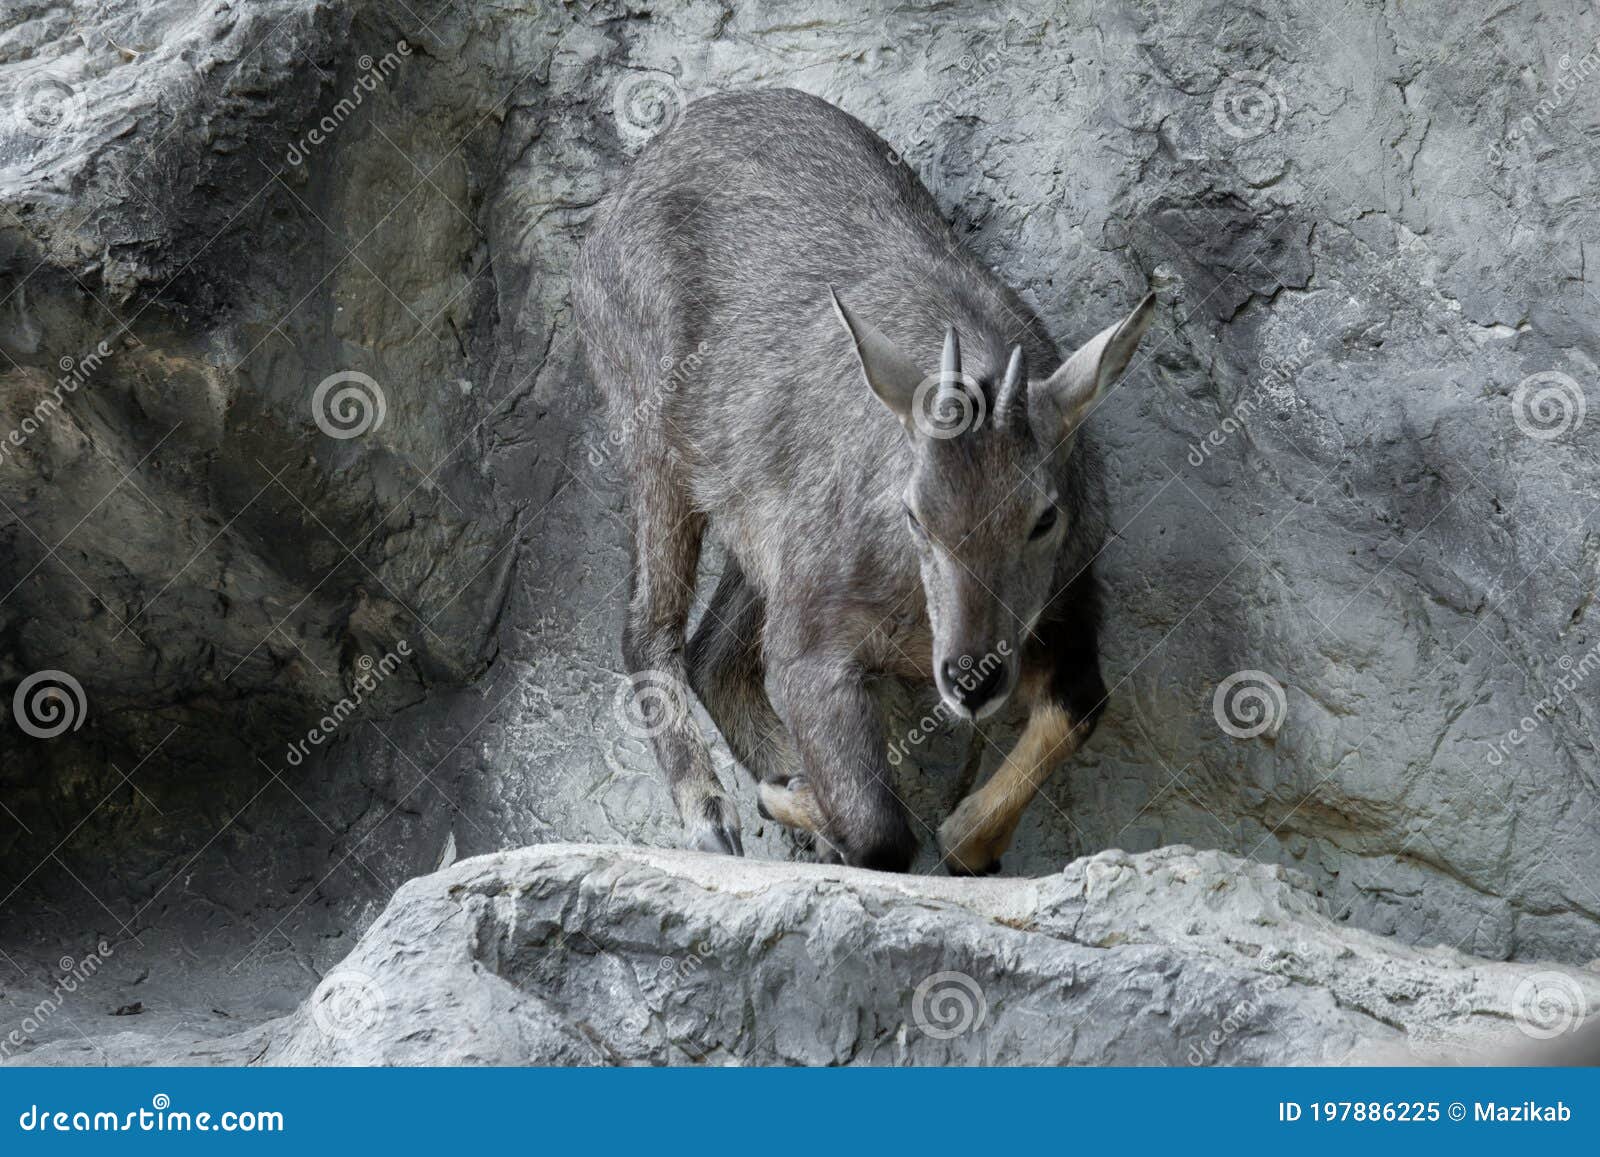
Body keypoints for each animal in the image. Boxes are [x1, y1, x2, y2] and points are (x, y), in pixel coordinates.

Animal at [574, 88, 1154, 873]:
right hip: (652, 440)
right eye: (914, 514)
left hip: (759, 526)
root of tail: (621, 193)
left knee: (713, 651)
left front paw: (963, 833)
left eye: (1044, 516)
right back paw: (711, 816)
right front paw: (797, 804)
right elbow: (880, 829)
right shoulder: (815, 651)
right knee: (650, 626)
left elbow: (1080, 704)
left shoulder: (1062, 603)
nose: (971, 678)